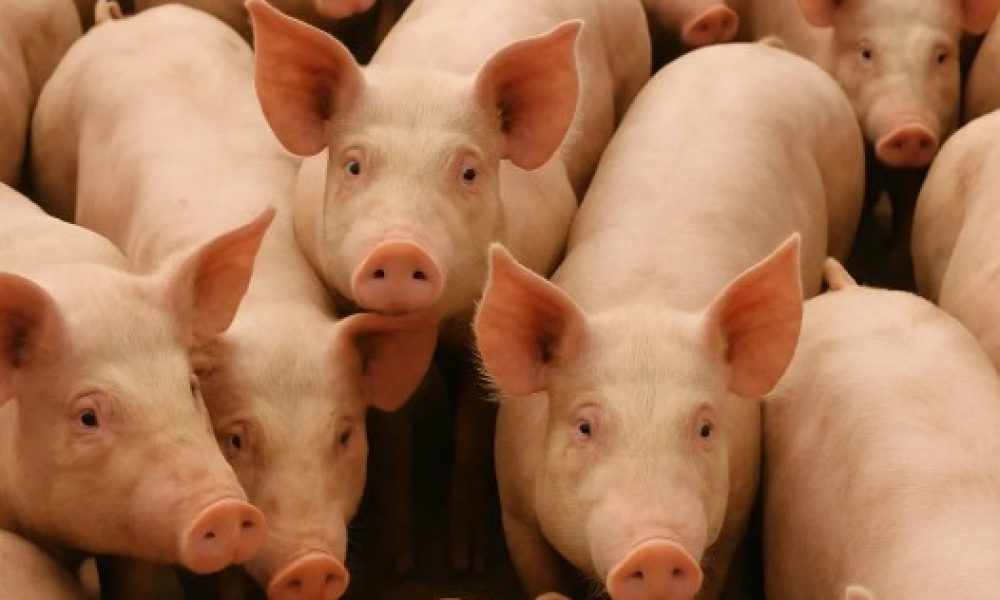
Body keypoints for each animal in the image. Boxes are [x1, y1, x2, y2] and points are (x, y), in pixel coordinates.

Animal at [249, 0, 651, 572]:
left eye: (468, 172)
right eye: (353, 164)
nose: (399, 250)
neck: (437, 327)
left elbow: (472, 433)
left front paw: (466, 562)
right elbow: (393, 433)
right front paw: (399, 563)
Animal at [473, 42, 863, 599]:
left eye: (704, 428)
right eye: (585, 426)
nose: (657, 551)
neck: (645, 306)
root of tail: (763, 48)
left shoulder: (733, 514)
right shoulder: (516, 511)